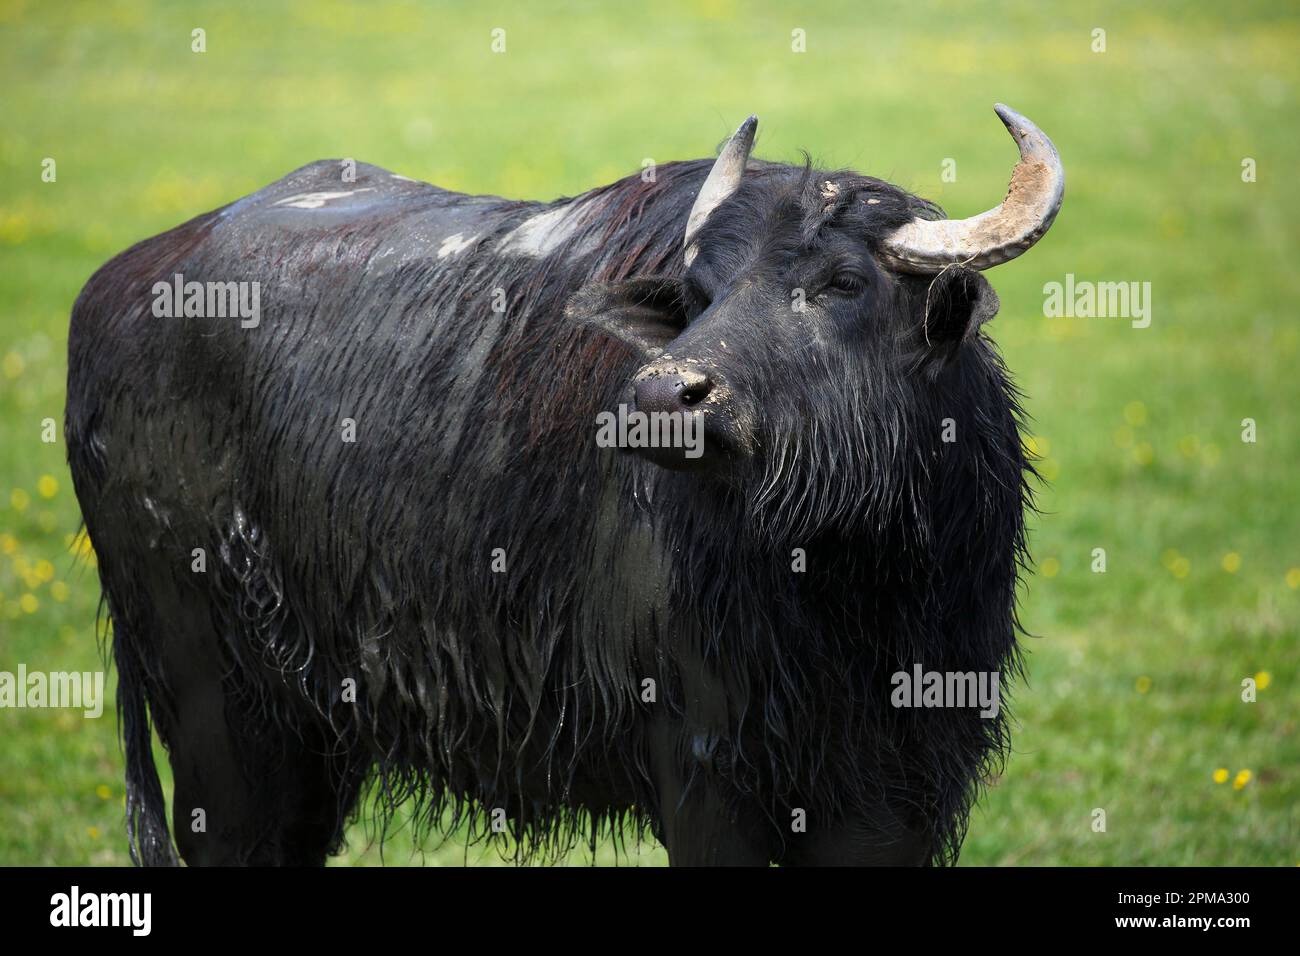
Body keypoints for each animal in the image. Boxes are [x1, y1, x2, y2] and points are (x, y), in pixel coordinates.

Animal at [66, 105, 1063, 865]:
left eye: (844, 281)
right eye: (700, 292)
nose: (666, 394)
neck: (849, 581)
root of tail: (118, 286)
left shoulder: (902, 786)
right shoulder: (703, 773)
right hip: (219, 718)